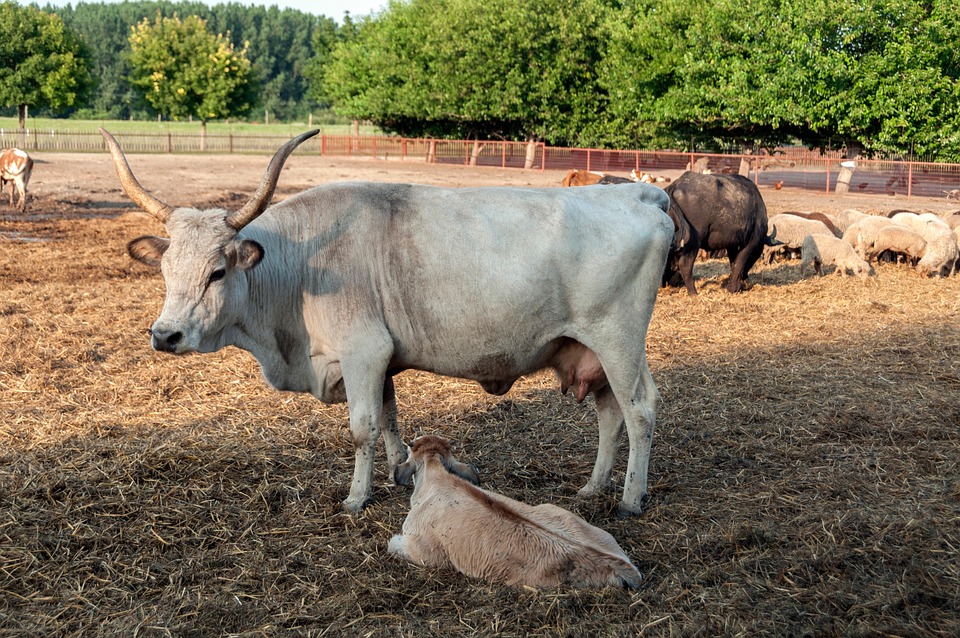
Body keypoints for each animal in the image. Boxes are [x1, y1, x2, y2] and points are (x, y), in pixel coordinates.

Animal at [102, 128, 675, 516]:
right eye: (165, 269)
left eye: (217, 272)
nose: (165, 335)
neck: (299, 268)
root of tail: (638, 193)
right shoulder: (383, 360)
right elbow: (392, 415)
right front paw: (403, 469)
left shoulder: (363, 351)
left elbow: (363, 426)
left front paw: (358, 496)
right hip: (593, 352)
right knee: (609, 414)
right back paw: (593, 487)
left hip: (618, 341)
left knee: (639, 409)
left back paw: (630, 498)